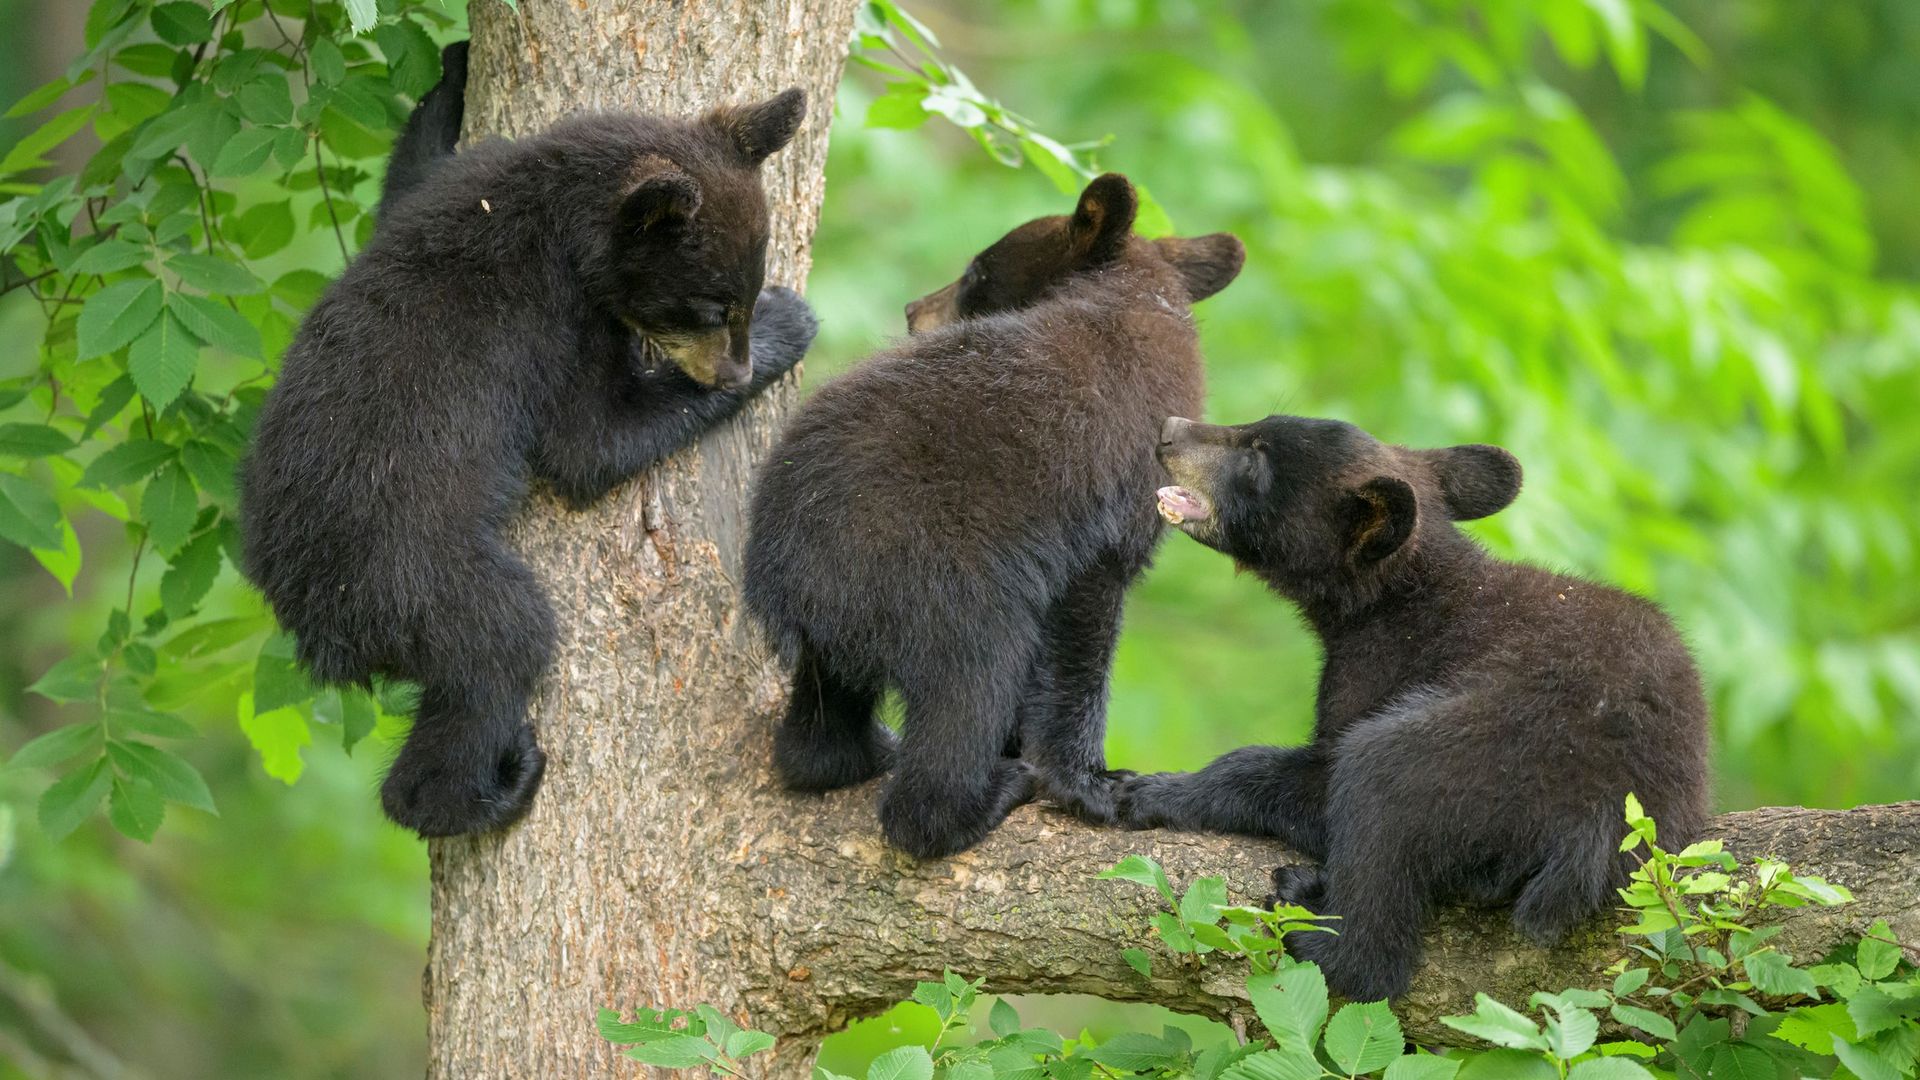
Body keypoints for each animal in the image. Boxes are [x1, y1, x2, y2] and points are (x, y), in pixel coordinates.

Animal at [239, 82, 820, 838]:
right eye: (709, 306)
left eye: (740, 295)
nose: (734, 371)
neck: (553, 209)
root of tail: (310, 619)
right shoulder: (550, 321)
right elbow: (587, 442)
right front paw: (791, 325)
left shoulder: (450, 188)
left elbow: (406, 179)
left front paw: (449, 76)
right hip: (414, 577)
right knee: (503, 646)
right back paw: (485, 791)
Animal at [742, 174, 1245, 858]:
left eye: (978, 271)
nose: (913, 311)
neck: (1139, 299)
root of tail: (783, 570)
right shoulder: (1102, 508)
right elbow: (1082, 635)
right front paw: (1092, 783)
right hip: (940, 579)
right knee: (974, 680)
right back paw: (983, 795)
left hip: (845, 620)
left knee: (823, 722)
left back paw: (854, 754)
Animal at [1116, 413, 1711, 1001]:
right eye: (1257, 425)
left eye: (1257, 454)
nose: (1171, 429)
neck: (1395, 596)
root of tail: (1603, 817)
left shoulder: (1381, 666)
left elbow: (1316, 779)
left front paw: (1152, 789)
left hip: (1490, 755)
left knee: (1379, 795)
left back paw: (1315, 921)